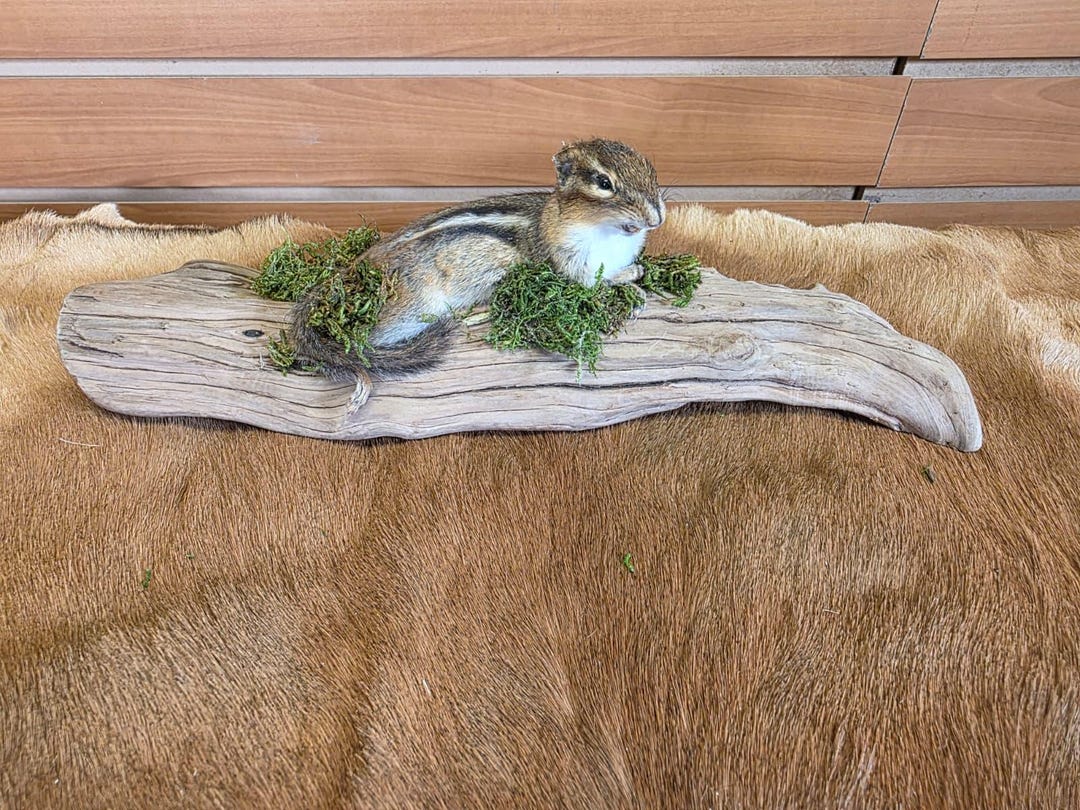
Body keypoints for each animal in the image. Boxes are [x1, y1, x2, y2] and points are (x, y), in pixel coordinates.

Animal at [290, 138, 666, 379]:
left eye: (649, 167)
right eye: (604, 182)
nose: (657, 219)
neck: (610, 234)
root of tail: (356, 268)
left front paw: (634, 273)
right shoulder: (569, 265)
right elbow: (591, 285)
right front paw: (632, 286)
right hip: (413, 309)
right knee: (363, 338)